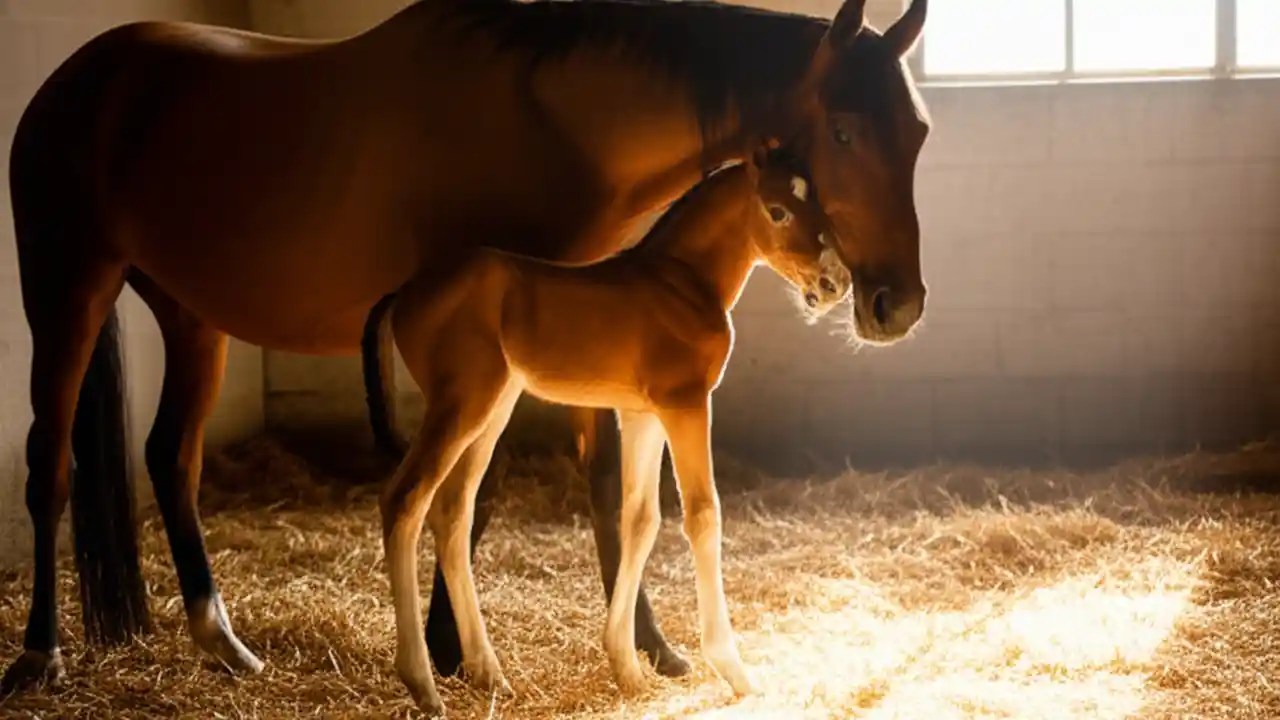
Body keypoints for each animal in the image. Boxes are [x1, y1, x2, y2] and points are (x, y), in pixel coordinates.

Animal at [381, 147, 850, 712]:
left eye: (819, 202)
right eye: (777, 211)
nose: (835, 283)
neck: (681, 284)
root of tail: (402, 295)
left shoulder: (643, 414)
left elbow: (640, 519)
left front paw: (627, 667)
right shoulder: (686, 403)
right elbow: (702, 515)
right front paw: (733, 669)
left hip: (491, 409)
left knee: (453, 512)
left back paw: (489, 674)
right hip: (460, 404)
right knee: (405, 501)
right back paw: (423, 684)